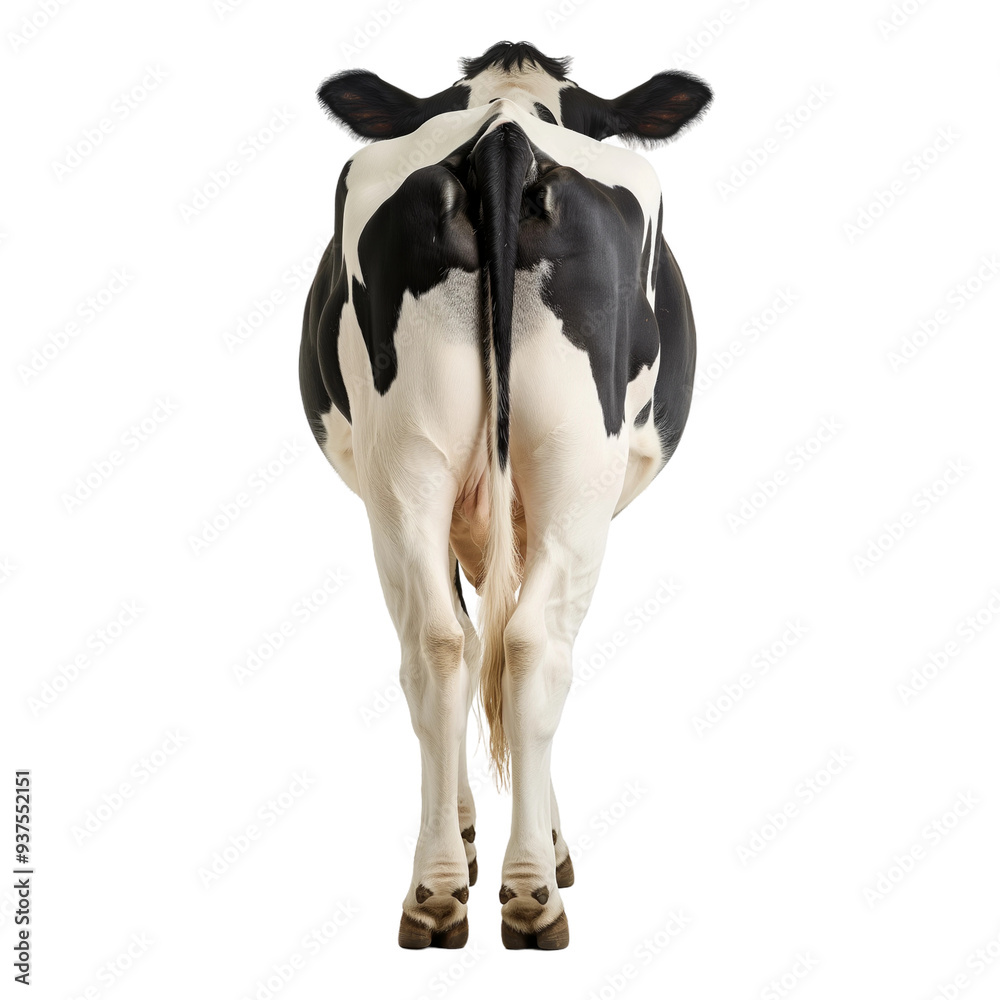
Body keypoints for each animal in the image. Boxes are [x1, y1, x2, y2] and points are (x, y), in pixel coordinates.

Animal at [299, 40, 711, 950]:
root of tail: (503, 137)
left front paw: (473, 836)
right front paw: (534, 841)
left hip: (406, 470)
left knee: (444, 645)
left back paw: (437, 891)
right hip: (573, 472)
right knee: (530, 645)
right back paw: (527, 893)